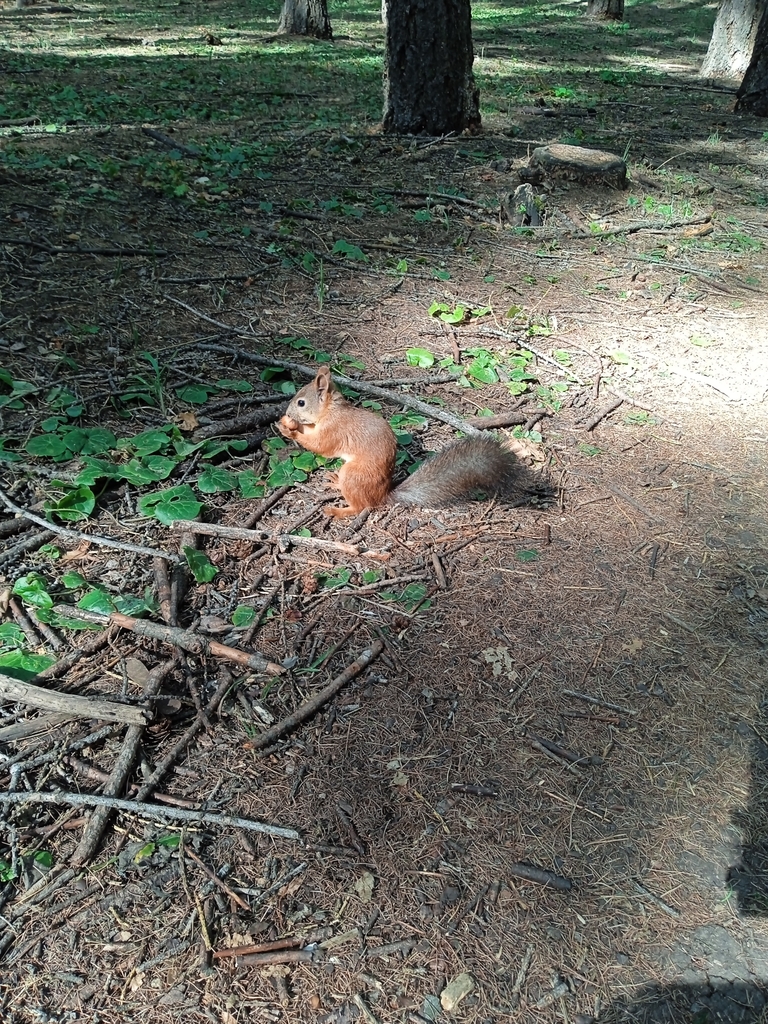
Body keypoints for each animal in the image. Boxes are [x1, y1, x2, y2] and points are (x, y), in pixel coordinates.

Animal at [277, 365, 517, 519]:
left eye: (301, 402)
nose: (287, 413)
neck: (331, 411)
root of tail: (383, 496)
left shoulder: (333, 431)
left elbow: (321, 446)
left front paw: (289, 430)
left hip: (354, 476)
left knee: (362, 507)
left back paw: (338, 510)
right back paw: (336, 482)